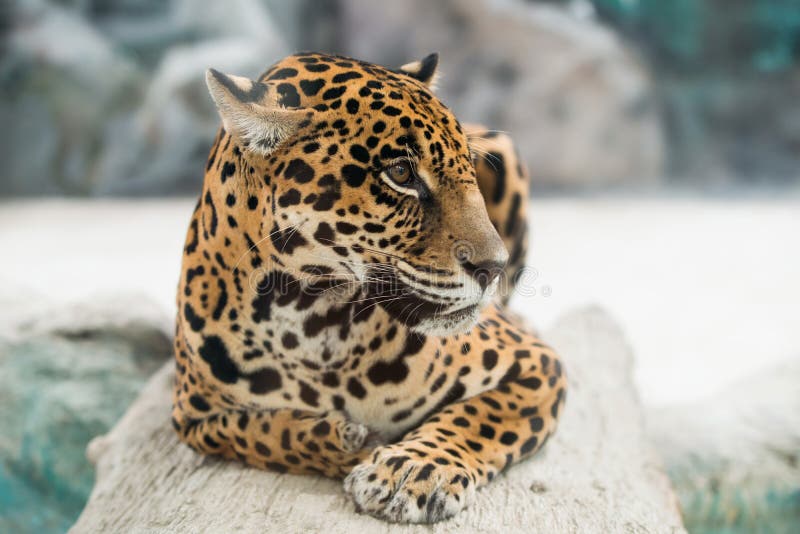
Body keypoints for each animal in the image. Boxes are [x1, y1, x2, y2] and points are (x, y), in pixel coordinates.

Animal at [171, 51, 566, 524]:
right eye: (400, 173)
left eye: (469, 167)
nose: (493, 266)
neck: (312, 320)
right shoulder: (190, 416)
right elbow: (256, 433)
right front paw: (345, 439)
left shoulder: (537, 363)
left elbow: (479, 416)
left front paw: (414, 469)